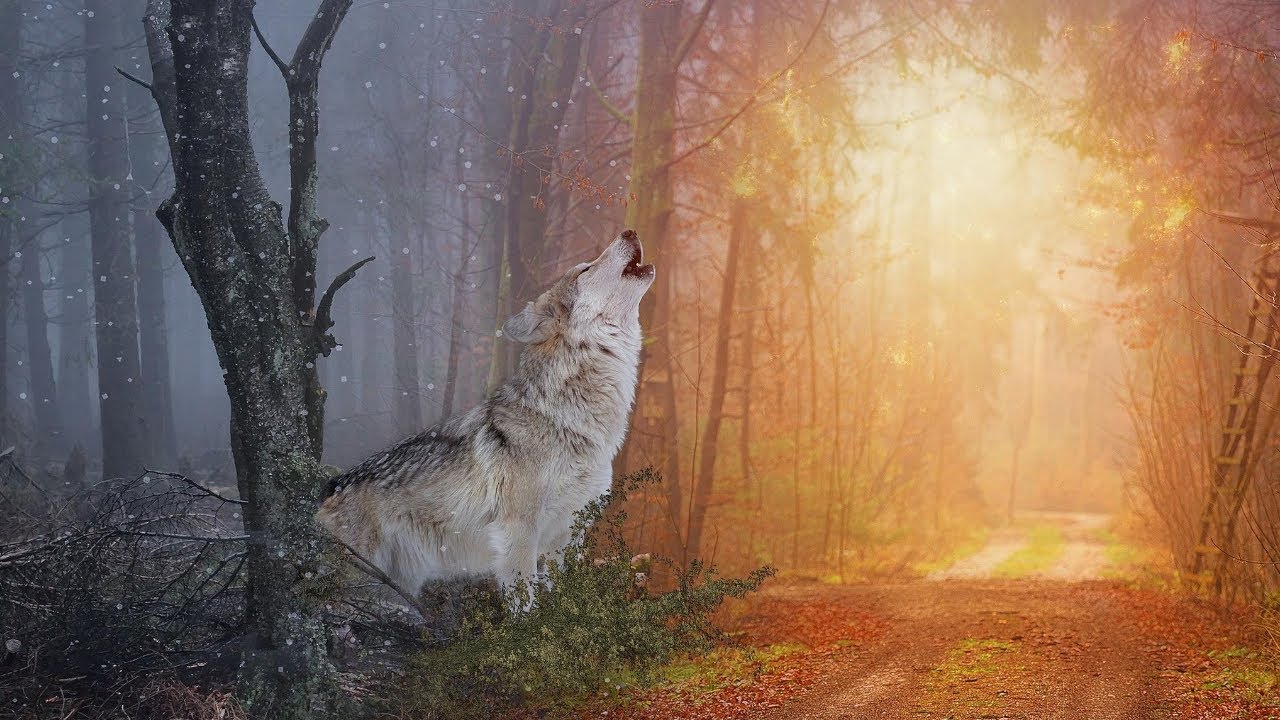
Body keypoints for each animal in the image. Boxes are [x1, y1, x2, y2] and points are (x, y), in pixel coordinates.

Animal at [316, 229, 655, 600]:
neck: (568, 419)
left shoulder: (568, 536)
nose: (629, 231)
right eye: (585, 269)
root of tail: (328, 489)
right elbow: (527, 604)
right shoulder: (518, 533)